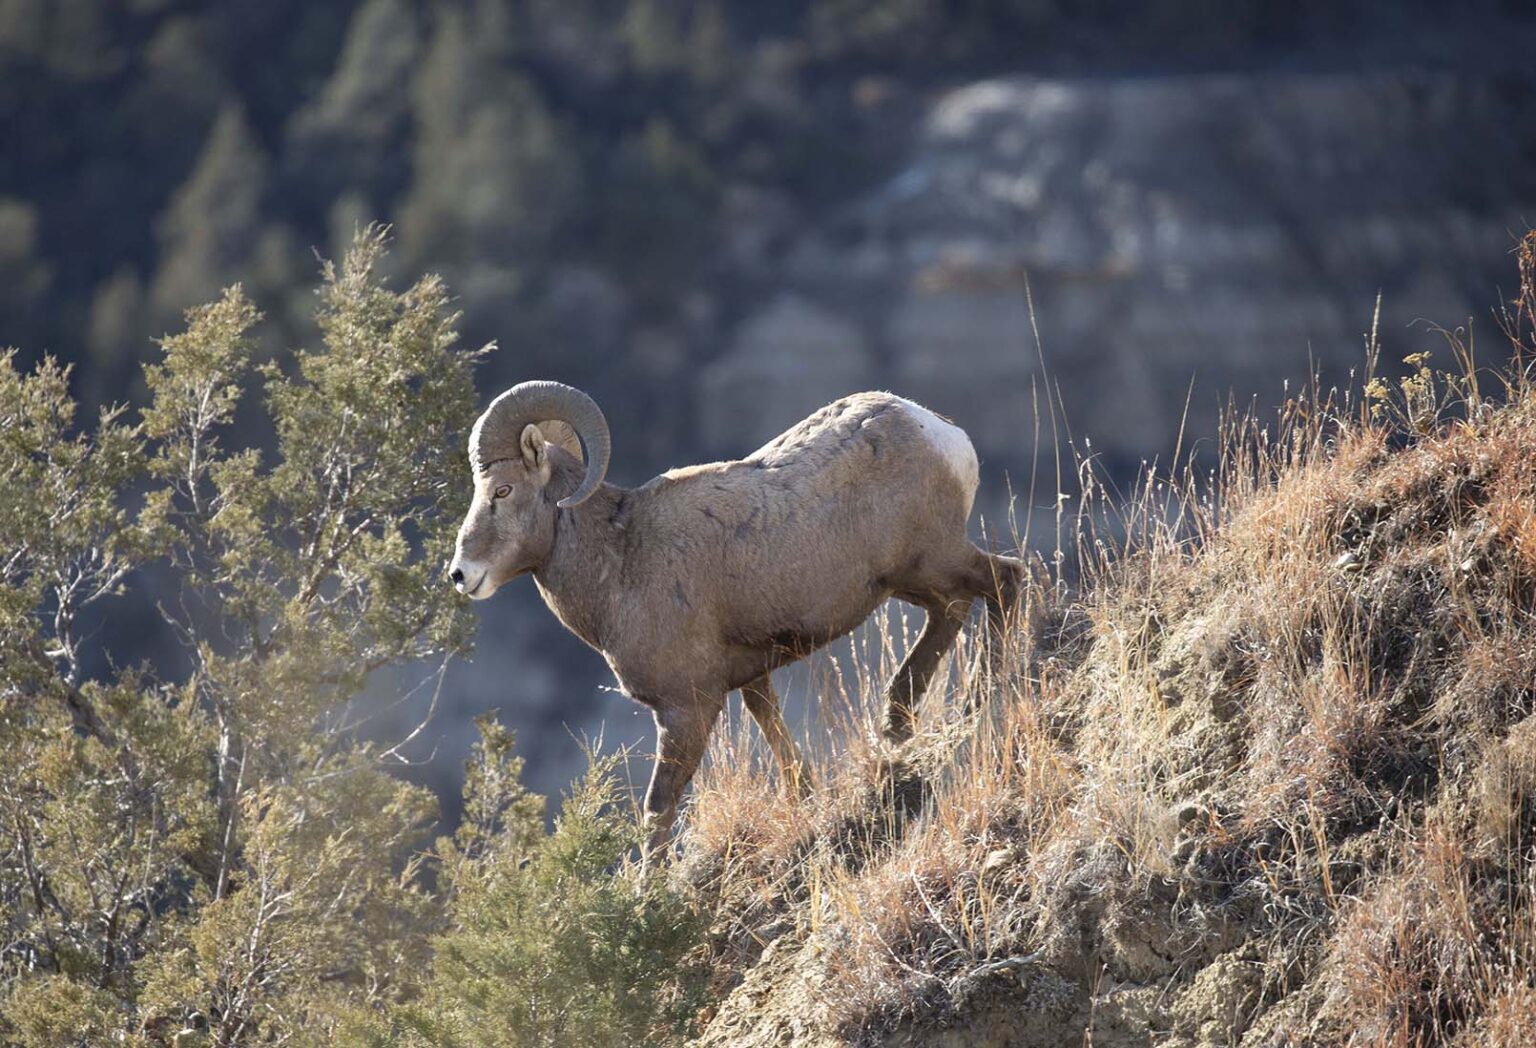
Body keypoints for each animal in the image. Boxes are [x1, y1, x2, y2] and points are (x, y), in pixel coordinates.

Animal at [448, 380, 1022, 854]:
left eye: (503, 491)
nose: (460, 574)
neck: (622, 560)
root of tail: (938, 431)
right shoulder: (752, 680)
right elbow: (786, 756)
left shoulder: (685, 710)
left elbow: (657, 812)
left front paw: (647, 899)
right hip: (911, 583)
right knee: (953, 612)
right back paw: (897, 722)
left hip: (932, 563)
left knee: (1006, 581)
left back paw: (976, 700)